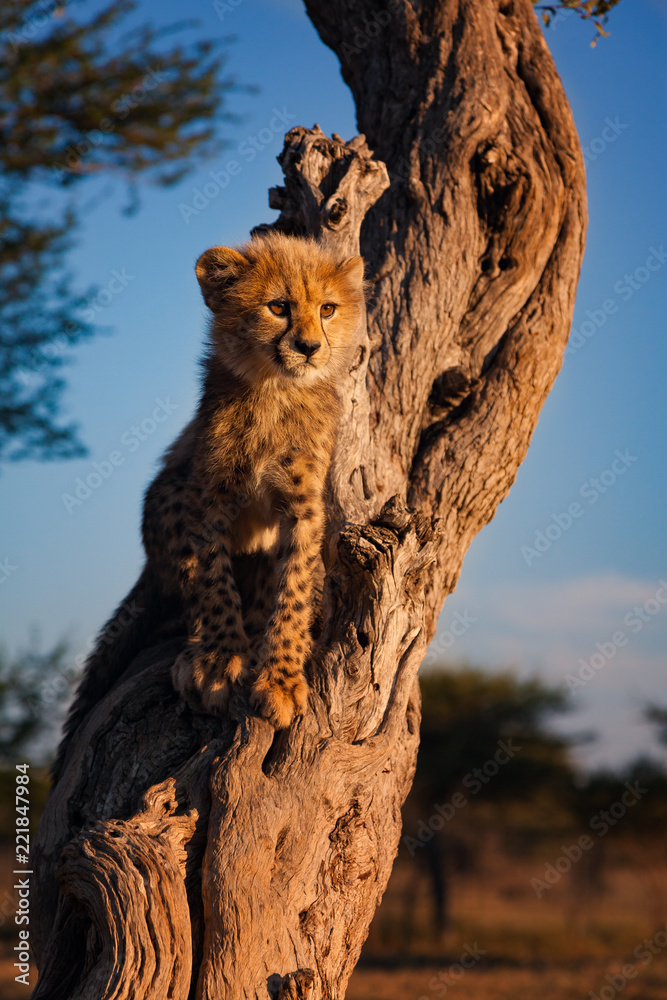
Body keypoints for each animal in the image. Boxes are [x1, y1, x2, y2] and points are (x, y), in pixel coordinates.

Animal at [53, 232, 366, 782]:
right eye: (279, 307)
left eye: (328, 309)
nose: (309, 347)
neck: (274, 390)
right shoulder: (206, 498)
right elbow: (214, 581)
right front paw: (219, 661)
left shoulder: (304, 510)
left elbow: (293, 586)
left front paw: (280, 678)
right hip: (163, 496)